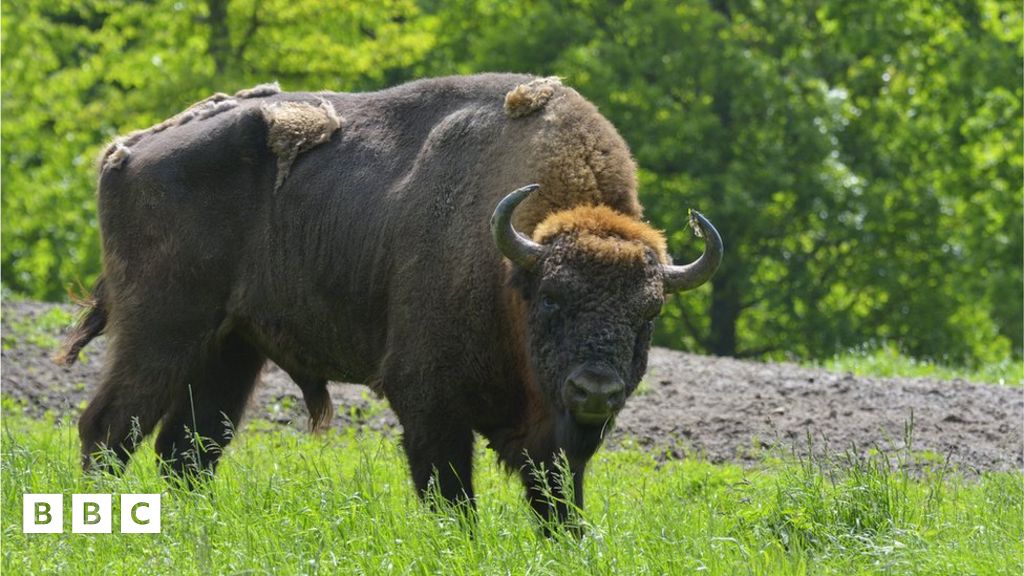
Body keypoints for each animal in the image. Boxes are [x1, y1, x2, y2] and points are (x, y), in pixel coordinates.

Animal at [59, 74, 722, 524]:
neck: (511, 266)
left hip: (232, 348)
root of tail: (126, 150)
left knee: (187, 449)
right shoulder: (429, 402)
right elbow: (452, 498)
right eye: (552, 298)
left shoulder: (552, 442)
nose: (595, 391)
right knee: (110, 427)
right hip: (162, 330)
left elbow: (559, 505)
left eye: (649, 314)